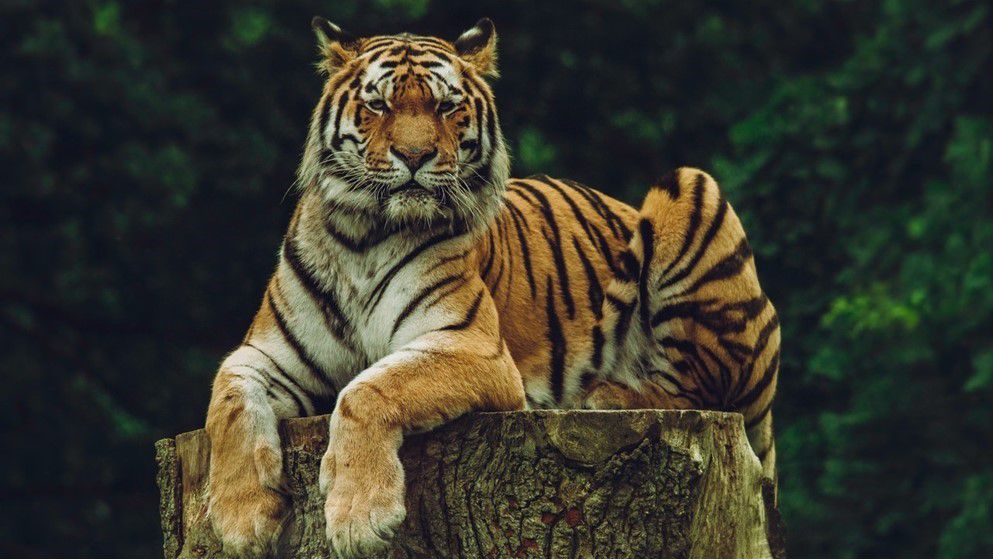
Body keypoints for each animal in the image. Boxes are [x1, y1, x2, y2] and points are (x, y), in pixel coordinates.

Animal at [204, 16, 780, 558]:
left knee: (701, 388)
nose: (414, 156)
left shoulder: (472, 346)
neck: (363, 237)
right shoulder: (267, 354)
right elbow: (227, 403)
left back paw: (605, 395)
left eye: (445, 107)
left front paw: (359, 518)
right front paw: (240, 522)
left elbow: (366, 389)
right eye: (378, 105)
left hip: (691, 188)